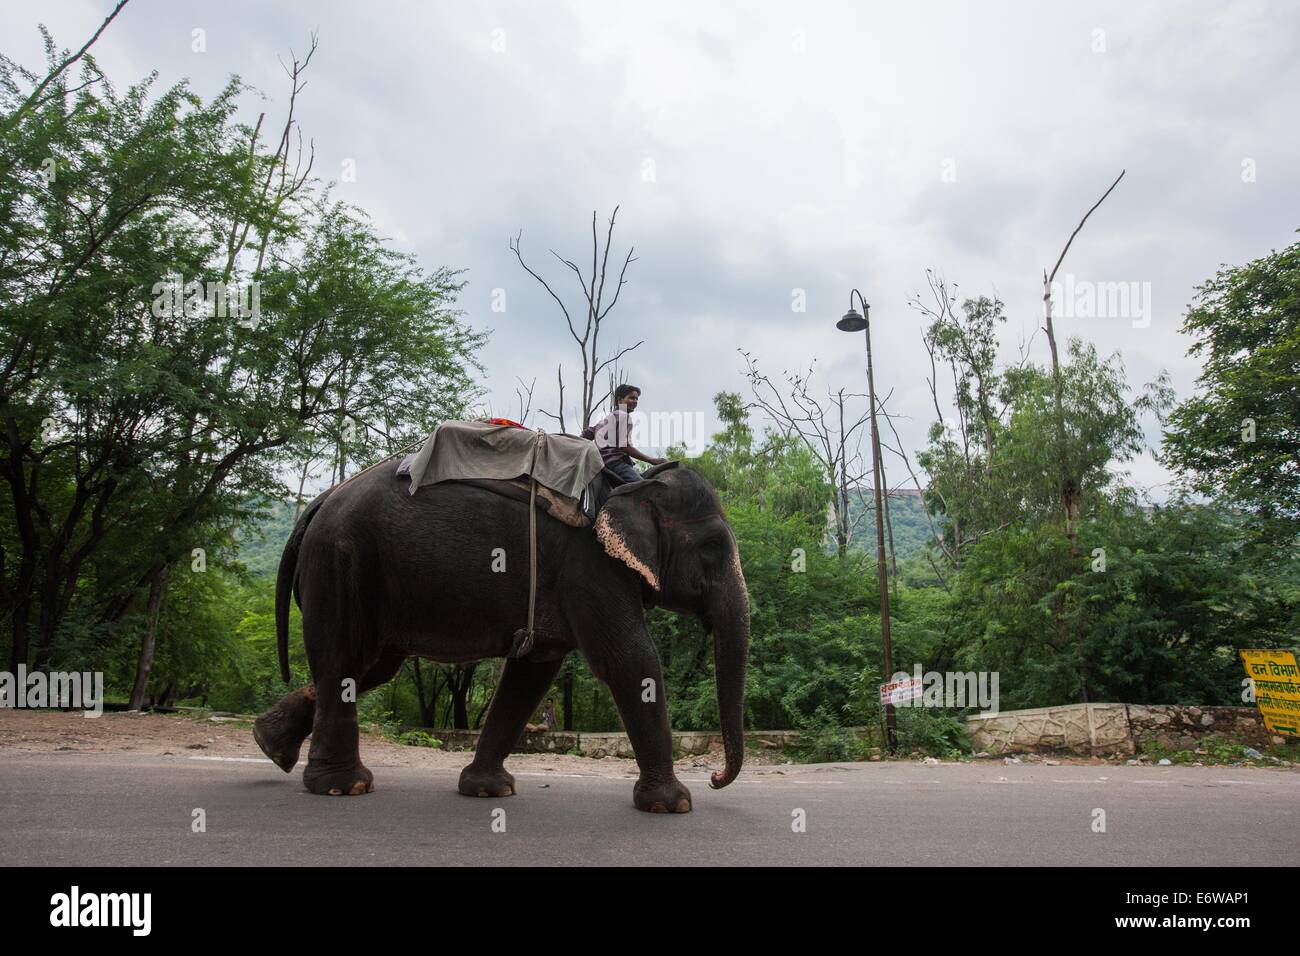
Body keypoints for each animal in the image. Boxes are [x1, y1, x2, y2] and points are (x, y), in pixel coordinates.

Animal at [251, 458, 751, 813]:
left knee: (367, 667)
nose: (714, 779)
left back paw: (270, 746)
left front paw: (488, 792)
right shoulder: (590, 566)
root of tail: (320, 502)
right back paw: (343, 786)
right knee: (345, 659)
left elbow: (532, 672)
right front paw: (674, 804)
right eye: (712, 548)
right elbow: (629, 659)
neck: (631, 487)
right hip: (342, 562)